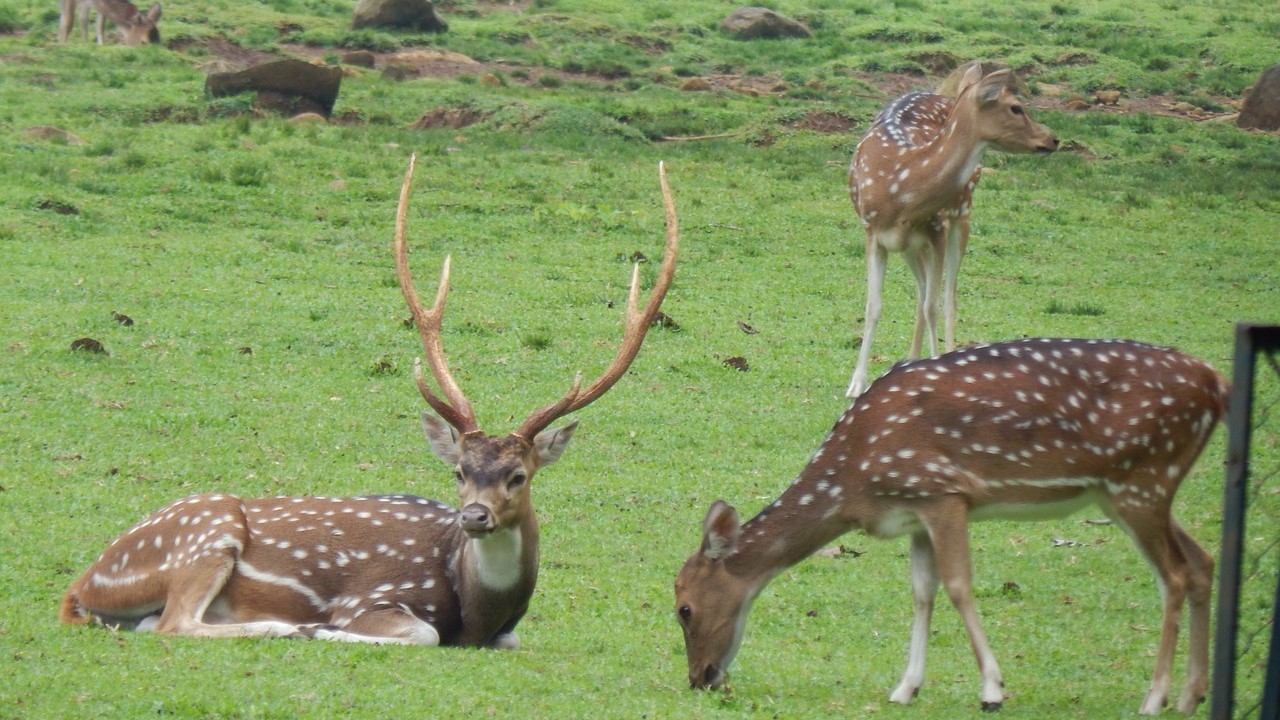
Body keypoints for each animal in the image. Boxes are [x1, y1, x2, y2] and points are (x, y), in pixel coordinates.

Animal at [59, 155, 680, 648]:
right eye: (459, 471)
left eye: (519, 475)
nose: (473, 515)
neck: (477, 612)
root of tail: (83, 582)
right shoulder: (375, 596)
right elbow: (422, 634)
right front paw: (326, 629)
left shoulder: (506, 633)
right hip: (206, 535)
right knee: (174, 623)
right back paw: (288, 628)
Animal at [676, 338, 1228, 715]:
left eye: (683, 608)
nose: (699, 678)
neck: (856, 480)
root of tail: (1218, 385)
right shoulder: (916, 514)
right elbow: (923, 592)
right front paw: (905, 688)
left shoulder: (942, 490)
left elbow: (960, 585)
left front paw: (992, 690)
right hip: (1137, 490)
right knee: (1203, 561)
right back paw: (1192, 696)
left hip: (1143, 480)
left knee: (1175, 575)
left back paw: (1154, 699)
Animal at [845, 62, 1059, 399]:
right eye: (1016, 107)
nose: (1053, 139)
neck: (901, 190)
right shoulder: (873, 232)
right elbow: (874, 306)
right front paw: (856, 385)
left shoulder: (939, 228)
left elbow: (935, 305)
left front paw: (936, 369)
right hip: (910, 245)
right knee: (922, 292)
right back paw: (910, 360)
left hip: (963, 214)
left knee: (946, 298)